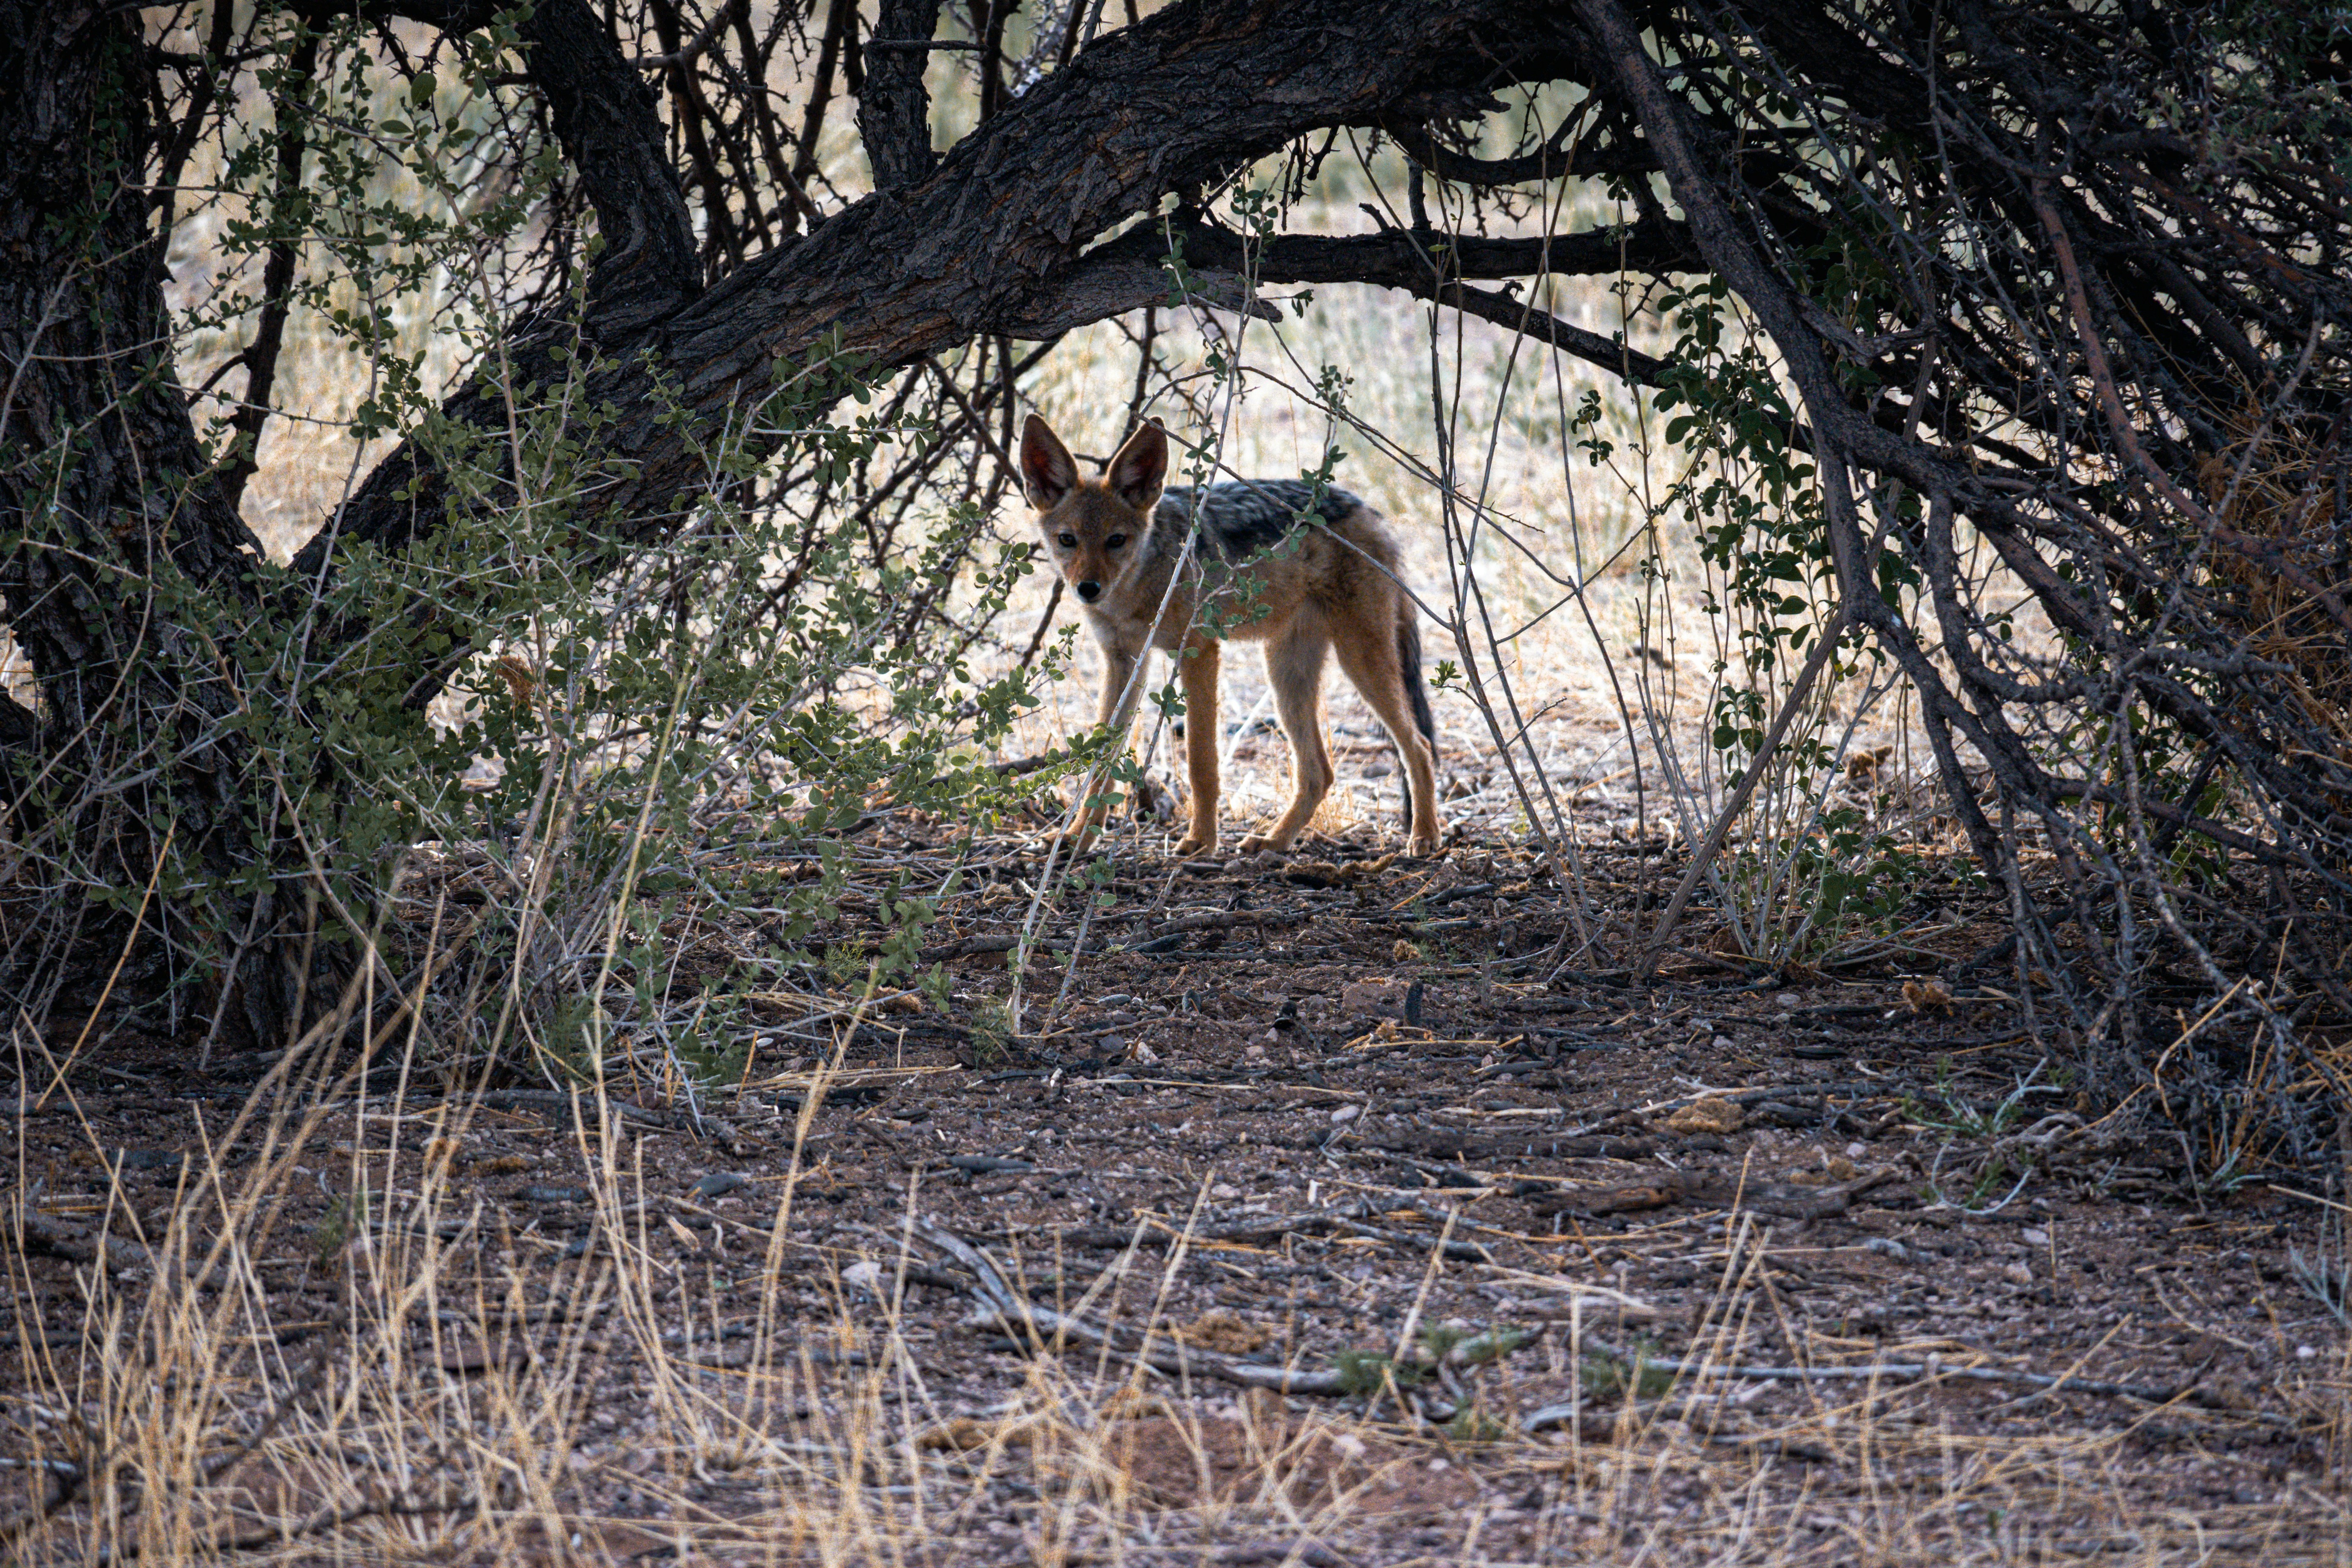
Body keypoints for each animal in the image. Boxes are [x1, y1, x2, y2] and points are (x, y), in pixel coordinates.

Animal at [1019, 412, 1441, 859]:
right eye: (1067, 540)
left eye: (1116, 541)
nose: (1088, 589)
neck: (1139, 587)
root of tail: (1369, 508)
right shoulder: (1124, 662)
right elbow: (1101, 762)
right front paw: (1077, 838)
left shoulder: (1198, 651)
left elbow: (1201, 761)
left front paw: (1202, 841)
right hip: (1286, 676)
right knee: (1320, 773)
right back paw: (1275, 841)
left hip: (1358, 662)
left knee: (1419, 746)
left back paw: (1425, 836)